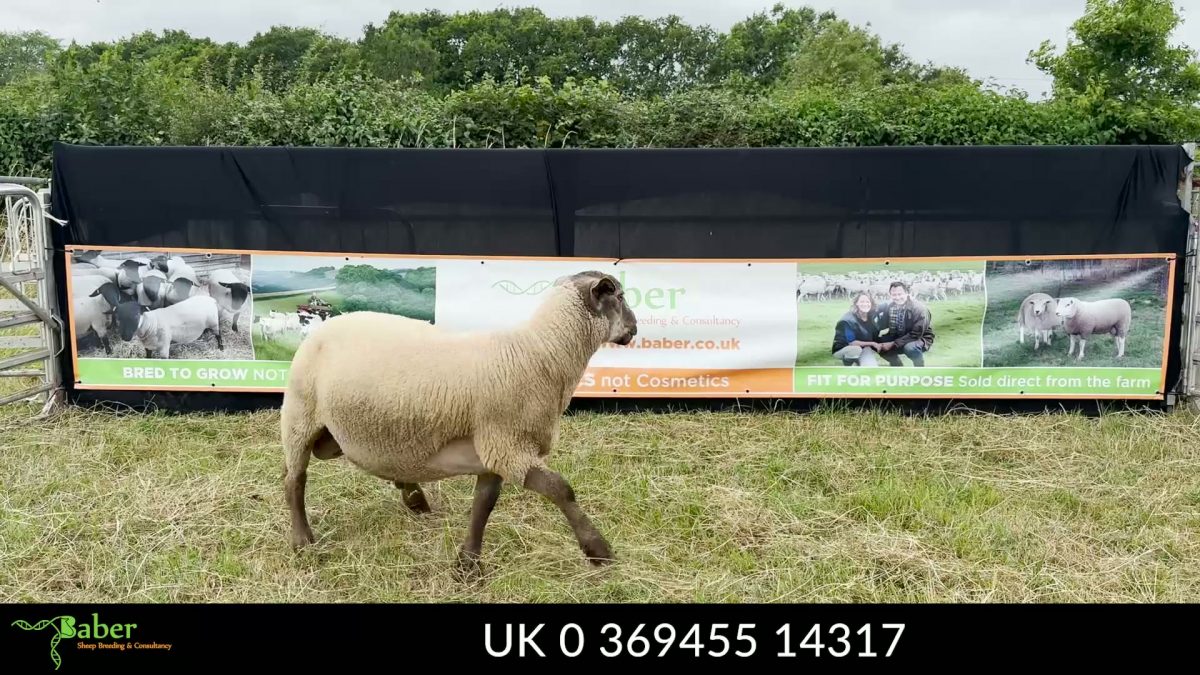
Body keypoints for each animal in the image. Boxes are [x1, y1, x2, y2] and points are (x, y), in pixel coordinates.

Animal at [279, 270, 638, 577]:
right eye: (619, 296)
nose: (634, 327)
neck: (540, 352)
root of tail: (322, 328)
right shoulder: (510, 446)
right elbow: (561, 490)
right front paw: (598, 550)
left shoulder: (494, 450)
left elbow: (483, 506)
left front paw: (467, 563)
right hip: (299, 415)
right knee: (294, 480)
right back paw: (302, 541)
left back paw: (414, 497)